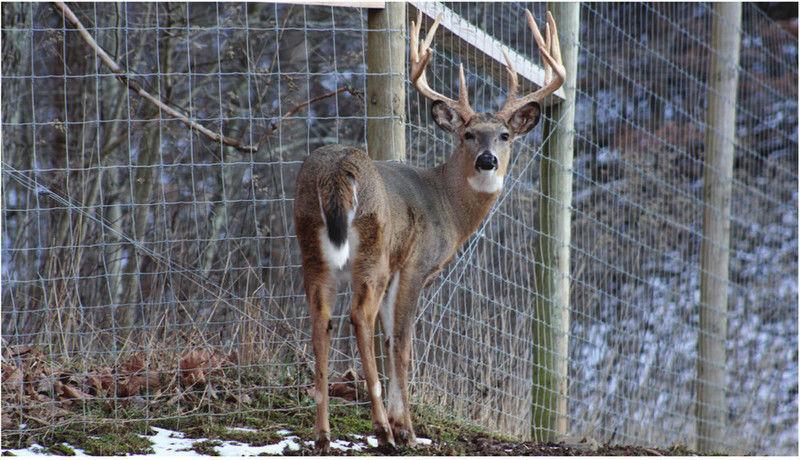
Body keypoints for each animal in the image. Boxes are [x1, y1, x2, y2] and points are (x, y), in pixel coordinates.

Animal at [293, 9, 565, 453]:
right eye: (468, 134)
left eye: (504, 135)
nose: (488, 160)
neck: (447, 208)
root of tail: (337, 170)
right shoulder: (415, 265)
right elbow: (402, 342)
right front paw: (407, 428)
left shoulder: (398, 271)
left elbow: (391, 338)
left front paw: (400, 422)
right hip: (374, 252)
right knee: (359, 318)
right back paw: (383, 432)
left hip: (311, 248)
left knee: (321, 319)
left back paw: (323, 435)